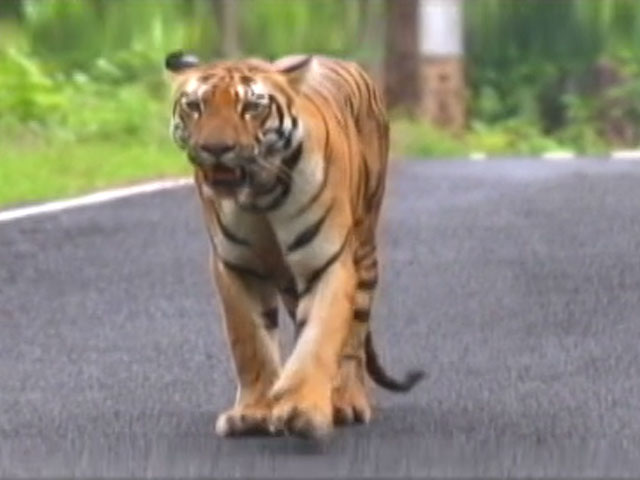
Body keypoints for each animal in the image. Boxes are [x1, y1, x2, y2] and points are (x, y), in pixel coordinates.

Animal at [164, 50, 424, 439]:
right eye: (195, 106)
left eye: (252, 107)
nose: (216, 149)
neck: (260, 192)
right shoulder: (236, 267)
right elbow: (249, 342)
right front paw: (253, 412)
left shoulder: (327, 263)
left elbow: (319, 338)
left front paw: (302, 409)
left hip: (364, 252)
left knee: (353, 338)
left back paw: (347, 401)